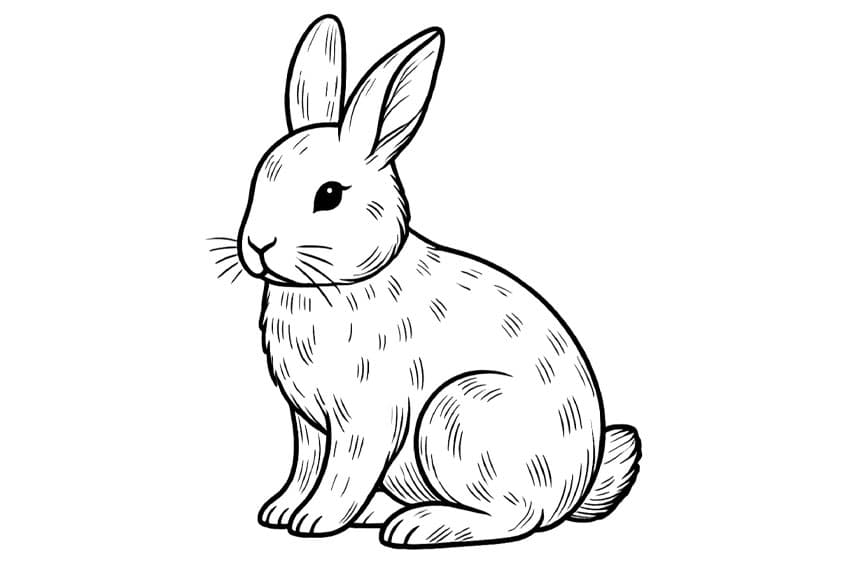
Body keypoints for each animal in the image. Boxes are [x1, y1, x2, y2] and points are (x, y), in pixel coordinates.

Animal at [232, 14, 641, 548]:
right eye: (260, 176)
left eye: (329, 195)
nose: (258, 245)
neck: (337, 285)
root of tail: (577, 486)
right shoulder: (309, 424)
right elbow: (305, 469)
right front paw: (280, 511)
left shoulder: (367, 418)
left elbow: (343, 474)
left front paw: (315, 521)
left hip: (459, 416)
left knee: (517, 517)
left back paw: (418, 526)